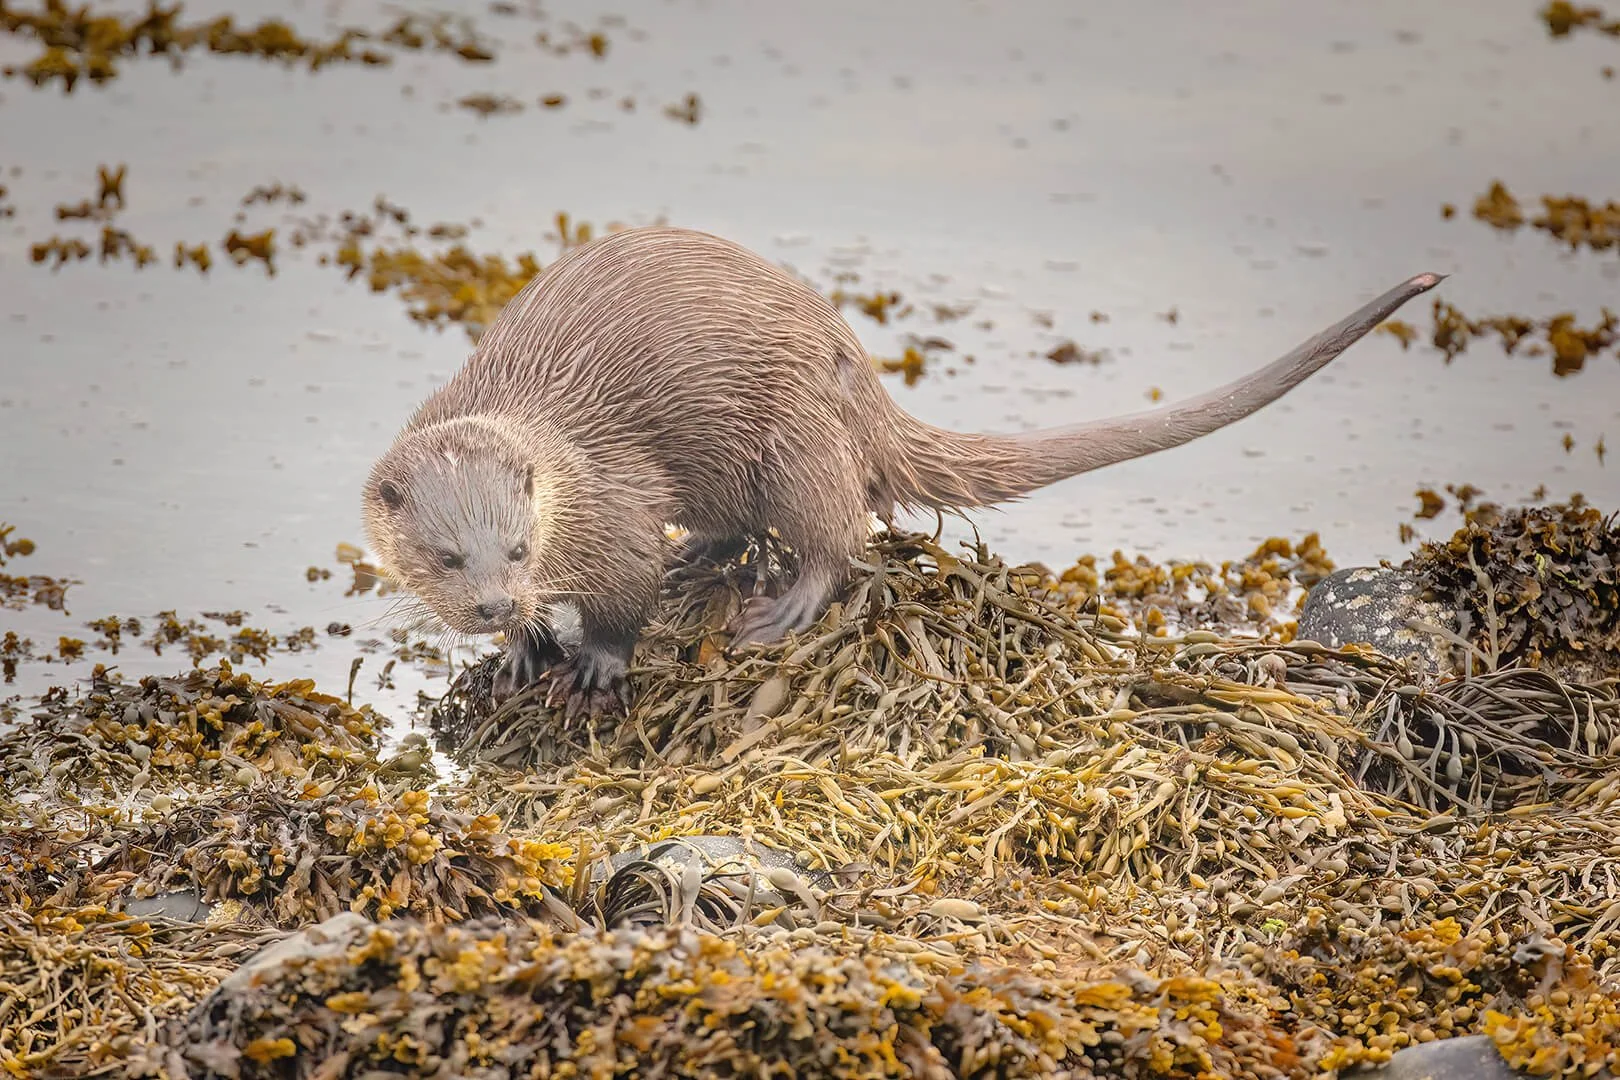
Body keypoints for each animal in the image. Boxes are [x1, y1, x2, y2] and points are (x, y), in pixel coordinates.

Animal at [363, 226, 1442, 717]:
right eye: (448, 558)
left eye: (515, 545)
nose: (496, 602)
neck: (560, 465)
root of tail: (856, 365)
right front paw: (520, 649)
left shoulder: (615, 503)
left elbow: (626, 591)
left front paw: (594, 660)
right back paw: (702, 560)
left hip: (794, 434)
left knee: (838, 534)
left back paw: (781, 608)